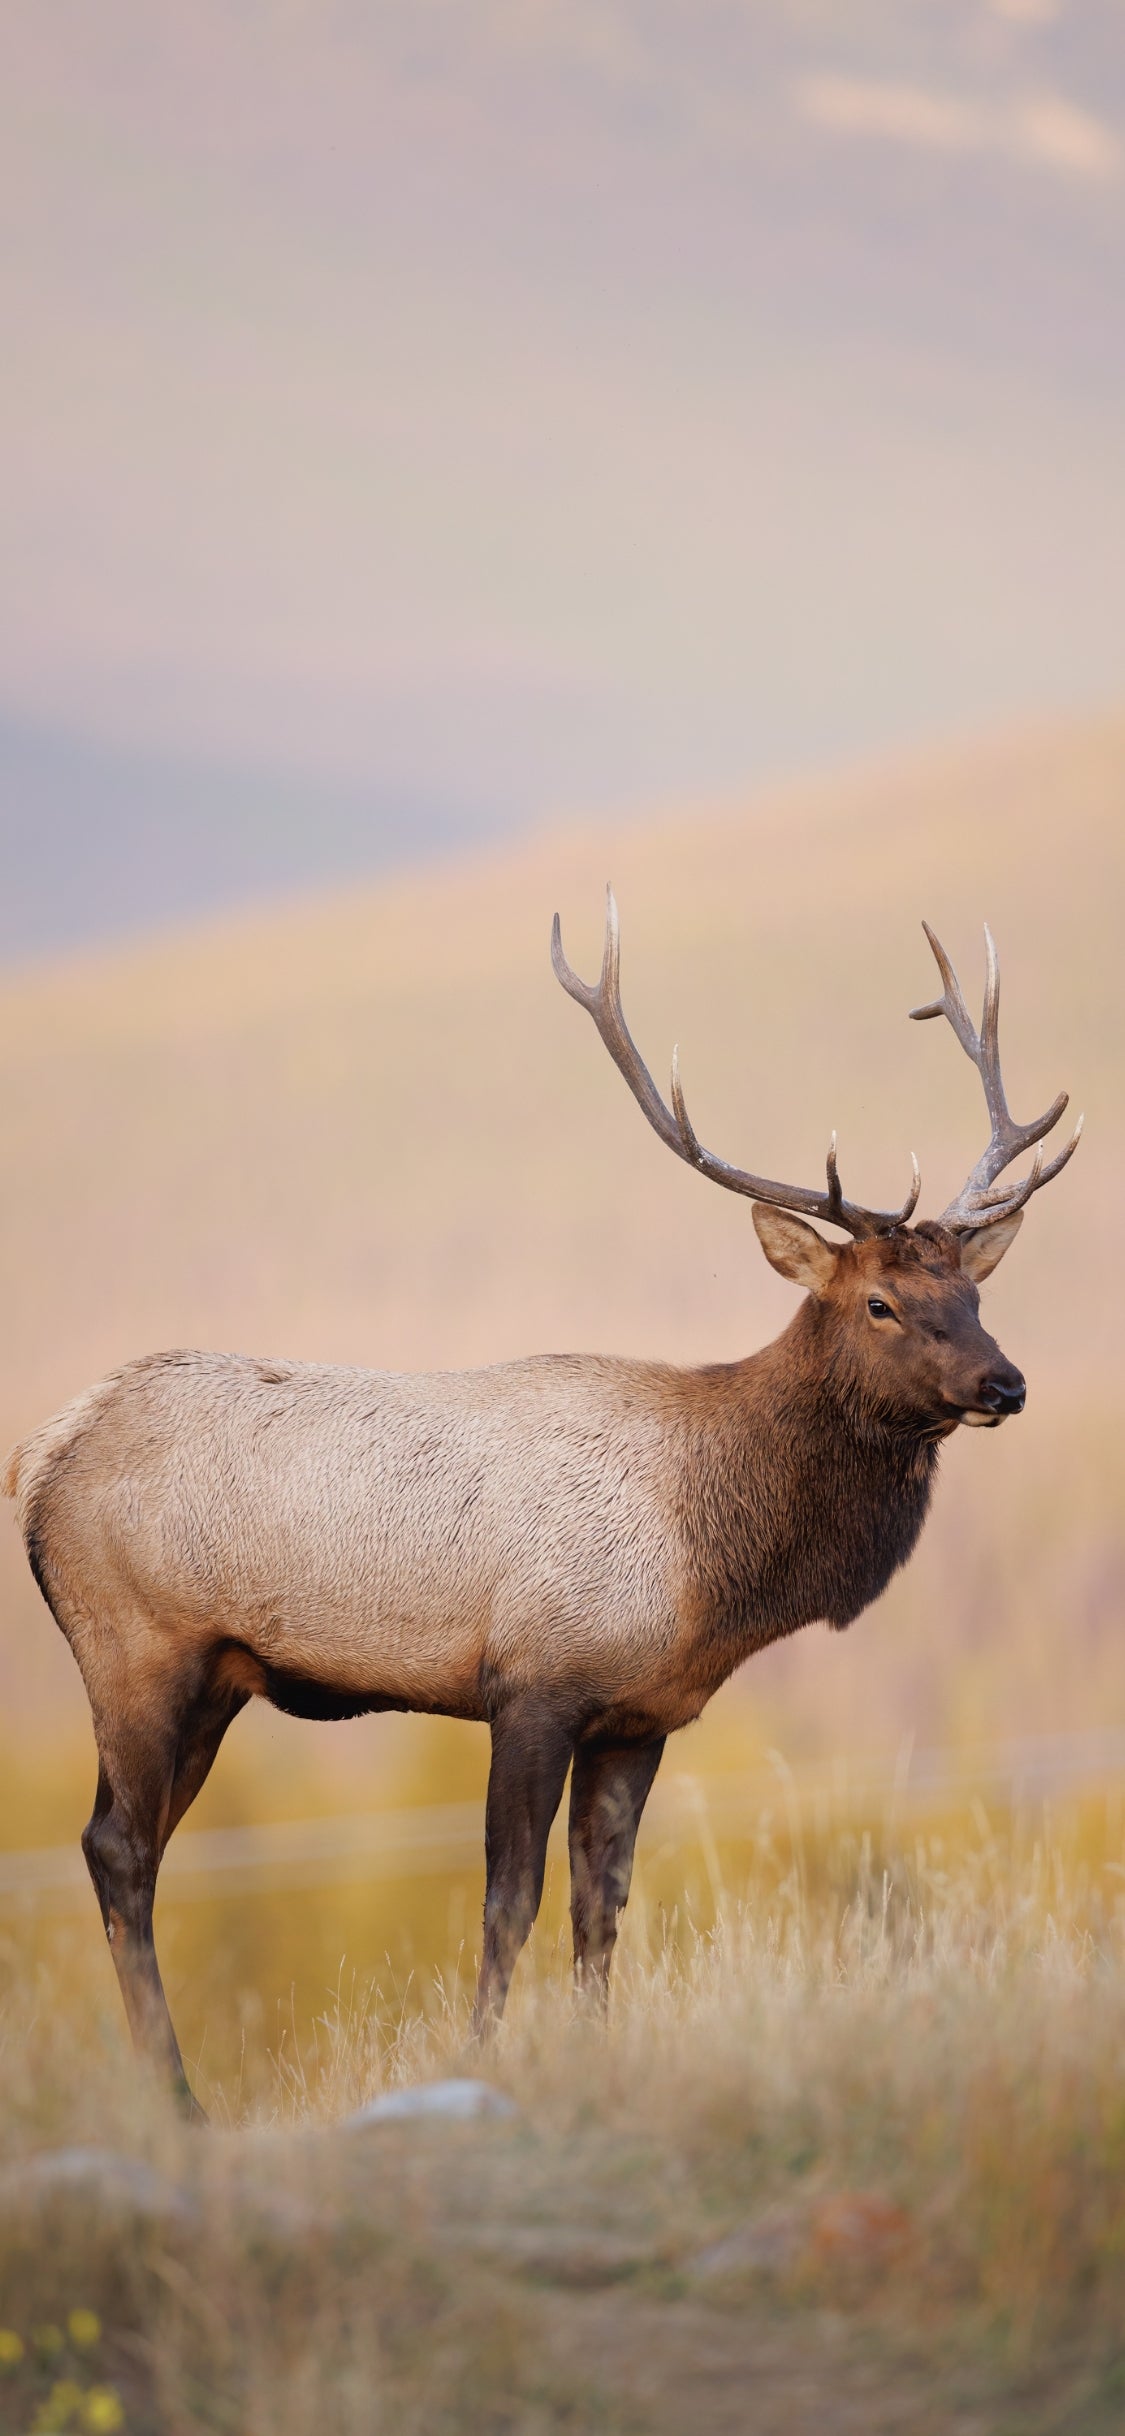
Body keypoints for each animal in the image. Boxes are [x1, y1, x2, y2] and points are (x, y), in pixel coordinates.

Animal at [5, 897, 1080, 2114]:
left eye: (975, 1290)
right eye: (881, 1303)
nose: (1005, 1384)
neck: (713, 1569)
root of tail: (38, 1455)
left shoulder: (639, 1716)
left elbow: (599, 1905)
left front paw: (594, 2056)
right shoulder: (532, 1681)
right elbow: (507, 1898)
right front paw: (477, 2061)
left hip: (217, 1680)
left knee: (137, 1847)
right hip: (135, 1646)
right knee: (116, 1847)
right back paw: (178, 2103)